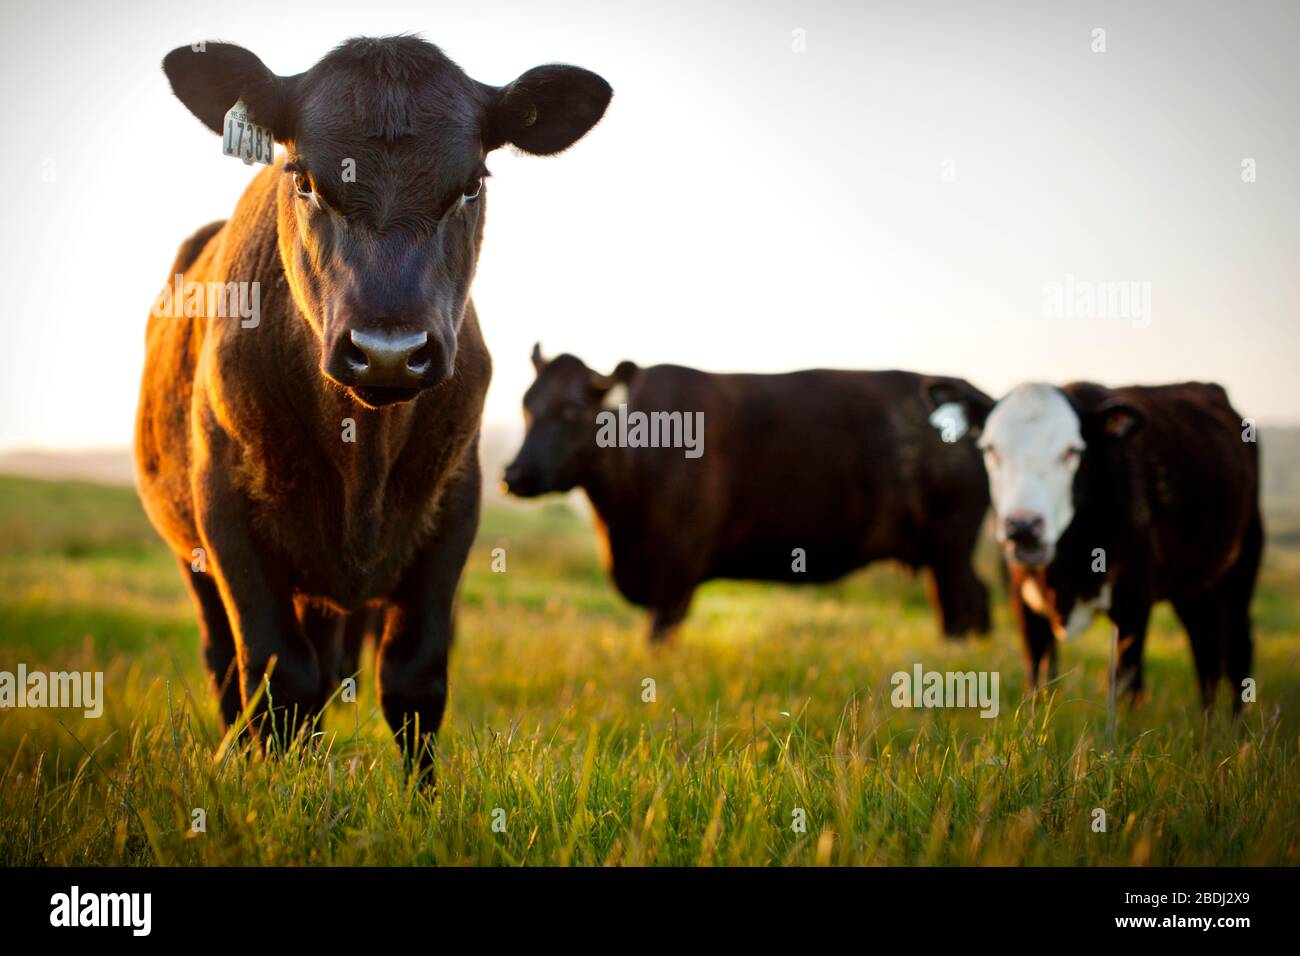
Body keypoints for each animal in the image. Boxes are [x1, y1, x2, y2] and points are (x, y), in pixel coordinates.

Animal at [134, 37, 610, 777]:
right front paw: (273, 792)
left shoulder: (454, 504)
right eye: (303, 179)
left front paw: (424, 801)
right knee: (229, 663)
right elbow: (276, 672)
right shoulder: (225, 511)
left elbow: (413, 680)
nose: (388, 352)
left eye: (473, 184)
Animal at [502, 347, 993, 642]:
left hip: (951, 540)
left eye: (572, 410)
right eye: (526, 406)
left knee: (966, 602)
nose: (515, 474)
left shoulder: (677, 566)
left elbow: (660, 633)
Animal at [925, 379, 1262, 713]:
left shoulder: (1132, 602)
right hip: (1192, 584)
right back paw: (1207, 720)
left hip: (1241, 566)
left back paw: (1236, 723)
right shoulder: (1023, 602)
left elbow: (1127, 687)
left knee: (1237, 646)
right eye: (990, 449)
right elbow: (1037, 677)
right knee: (1204, 643)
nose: (1022, 526)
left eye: (1072, 451)